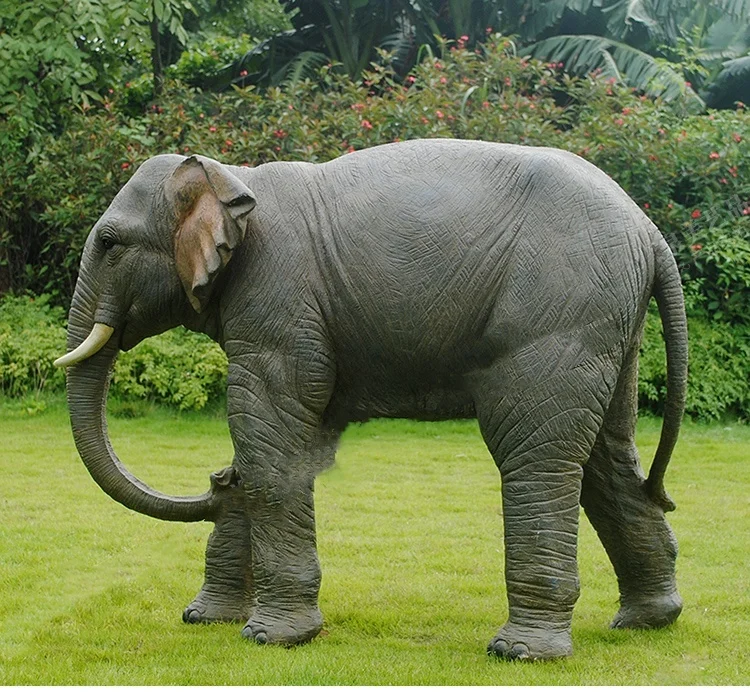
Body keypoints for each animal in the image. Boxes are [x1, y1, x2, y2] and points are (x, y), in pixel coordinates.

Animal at [55, 138, 687, 661]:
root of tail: (650, 232)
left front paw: (269, 638)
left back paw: (521, 652)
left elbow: (270, 433)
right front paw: (209, 619)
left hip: (560, 309)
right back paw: (645, 622)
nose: (212, 484)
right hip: (610, 322)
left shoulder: (276, 295)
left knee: (536, 455)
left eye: (109, 244)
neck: (232, 177)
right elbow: (290, 435)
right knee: (610, 458)